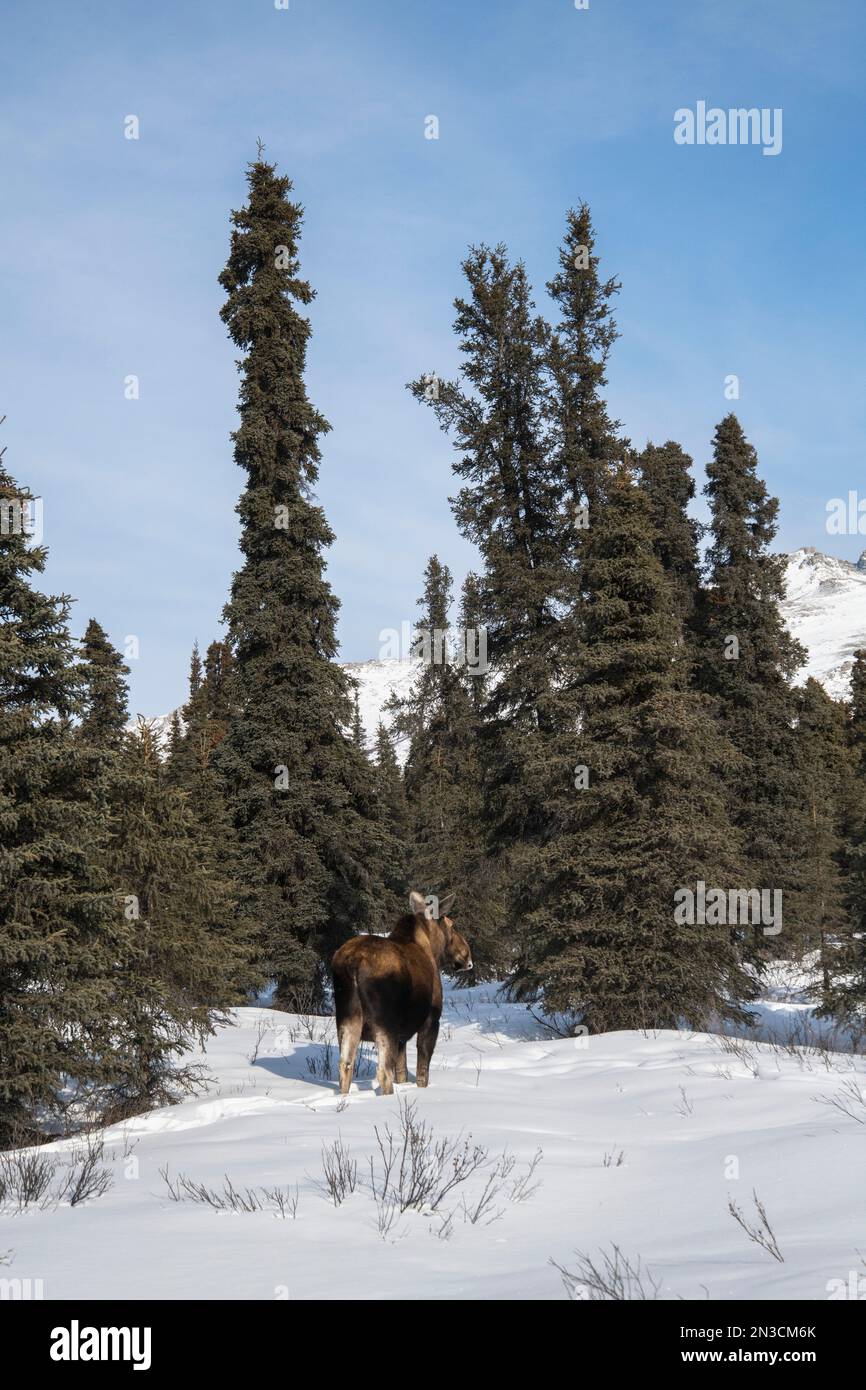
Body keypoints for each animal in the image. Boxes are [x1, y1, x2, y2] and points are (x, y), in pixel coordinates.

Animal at [331, 891, 472, 1096]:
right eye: (452, 925)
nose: (467, 956)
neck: (433, 949)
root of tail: (353, 964)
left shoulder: (401, 1037)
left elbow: (402, 1071)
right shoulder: (431, 1021)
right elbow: (422, 1072)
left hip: (347, 1020)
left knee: (345, 1066)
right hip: (385, 1025)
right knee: (383, 1072)